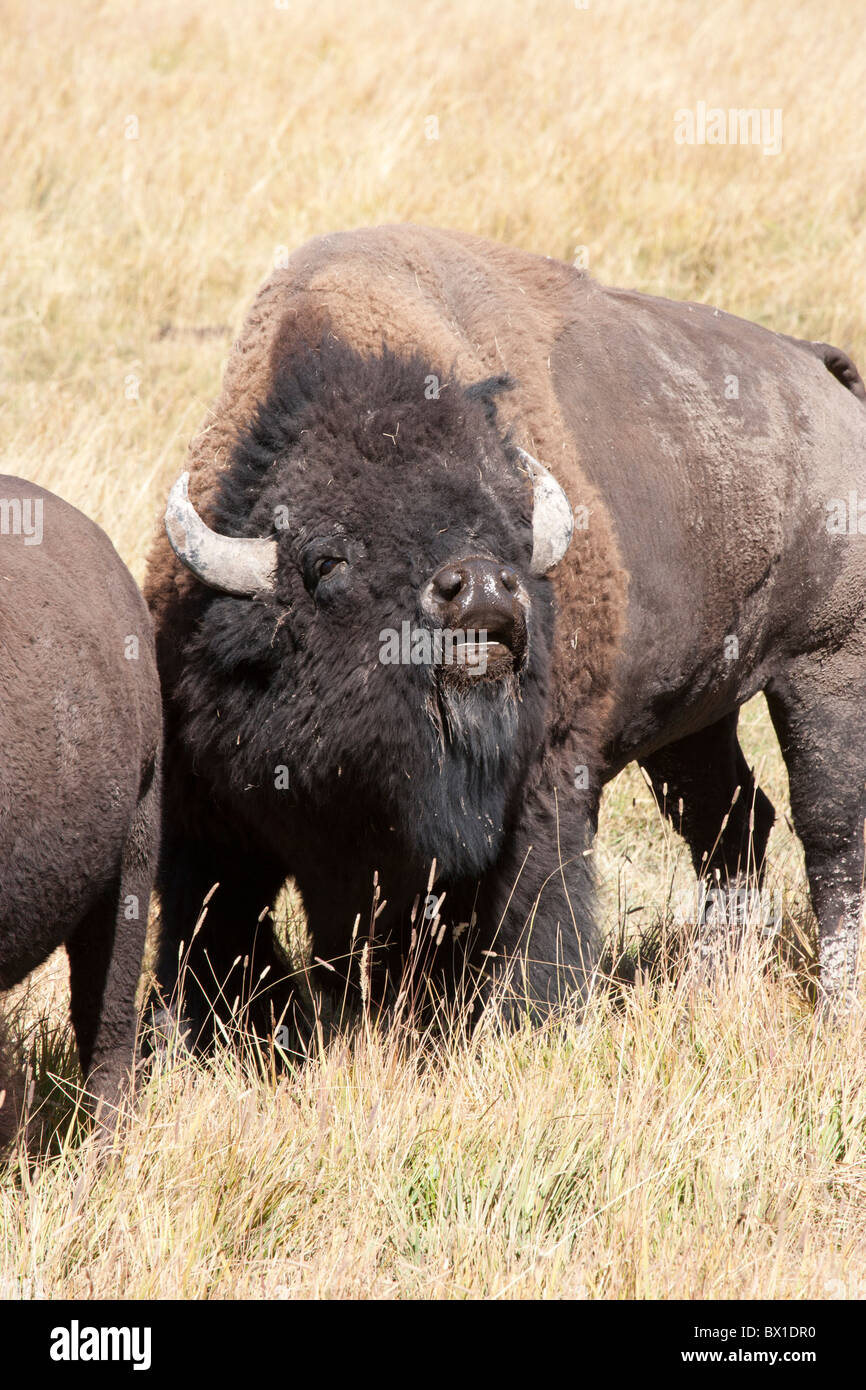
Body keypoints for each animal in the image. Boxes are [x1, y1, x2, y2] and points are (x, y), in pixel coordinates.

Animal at [145, 224, 866, 1049]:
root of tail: (816, 367)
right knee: (733, 823)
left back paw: (837, 1009)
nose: (484, 587)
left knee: (831, 833)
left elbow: (538, 907)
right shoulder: (208, 806)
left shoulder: (546, 780)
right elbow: (214, 922)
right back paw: (711, 983)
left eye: (505, 530)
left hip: (826, 666)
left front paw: (530, 1018)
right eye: (327, 560)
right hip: (695, 717)